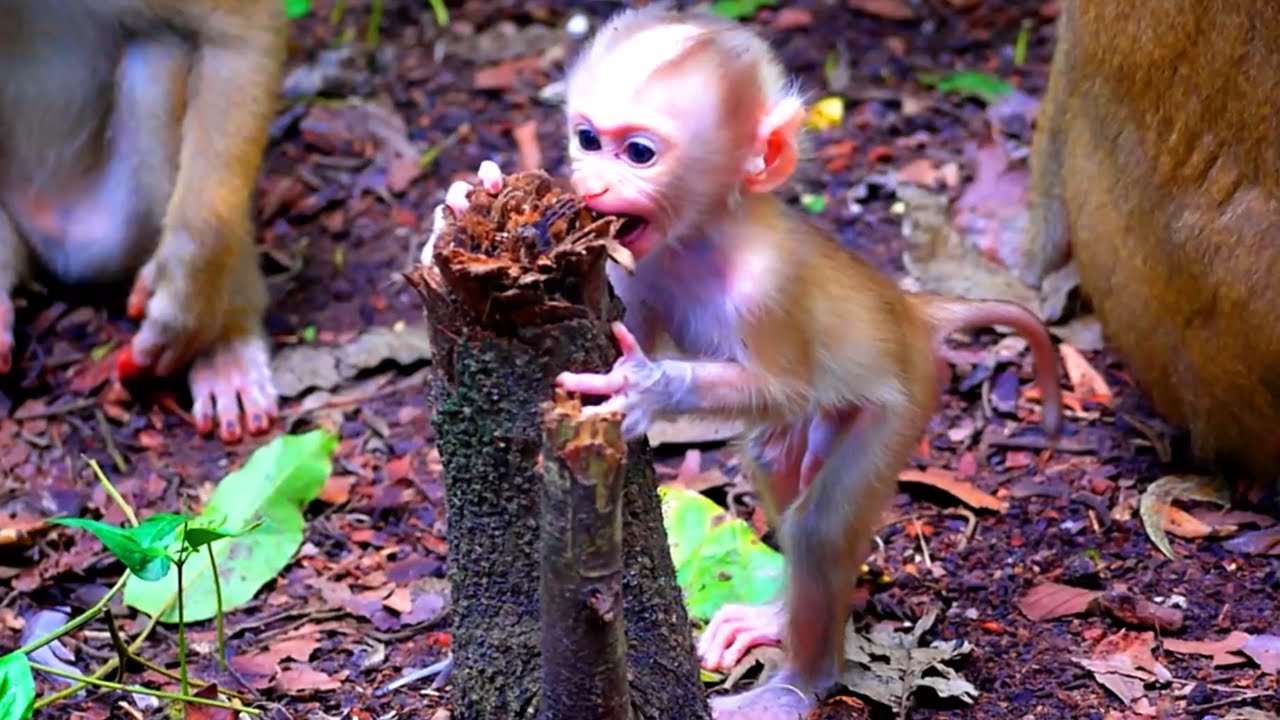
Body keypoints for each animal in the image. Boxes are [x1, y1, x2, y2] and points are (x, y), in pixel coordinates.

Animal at [427, 7, 1063, 718]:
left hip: (905, 402)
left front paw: (647, 387)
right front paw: (460, 202)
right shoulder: (637, 268)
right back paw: (775, 618)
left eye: (638, 153)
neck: (704, 238)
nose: (588, 184)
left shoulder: (768, 290)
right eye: (586, 139)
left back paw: (793, 687)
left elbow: (783, 388)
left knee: (820, 526)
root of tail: (909, 308)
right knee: (778, 458)